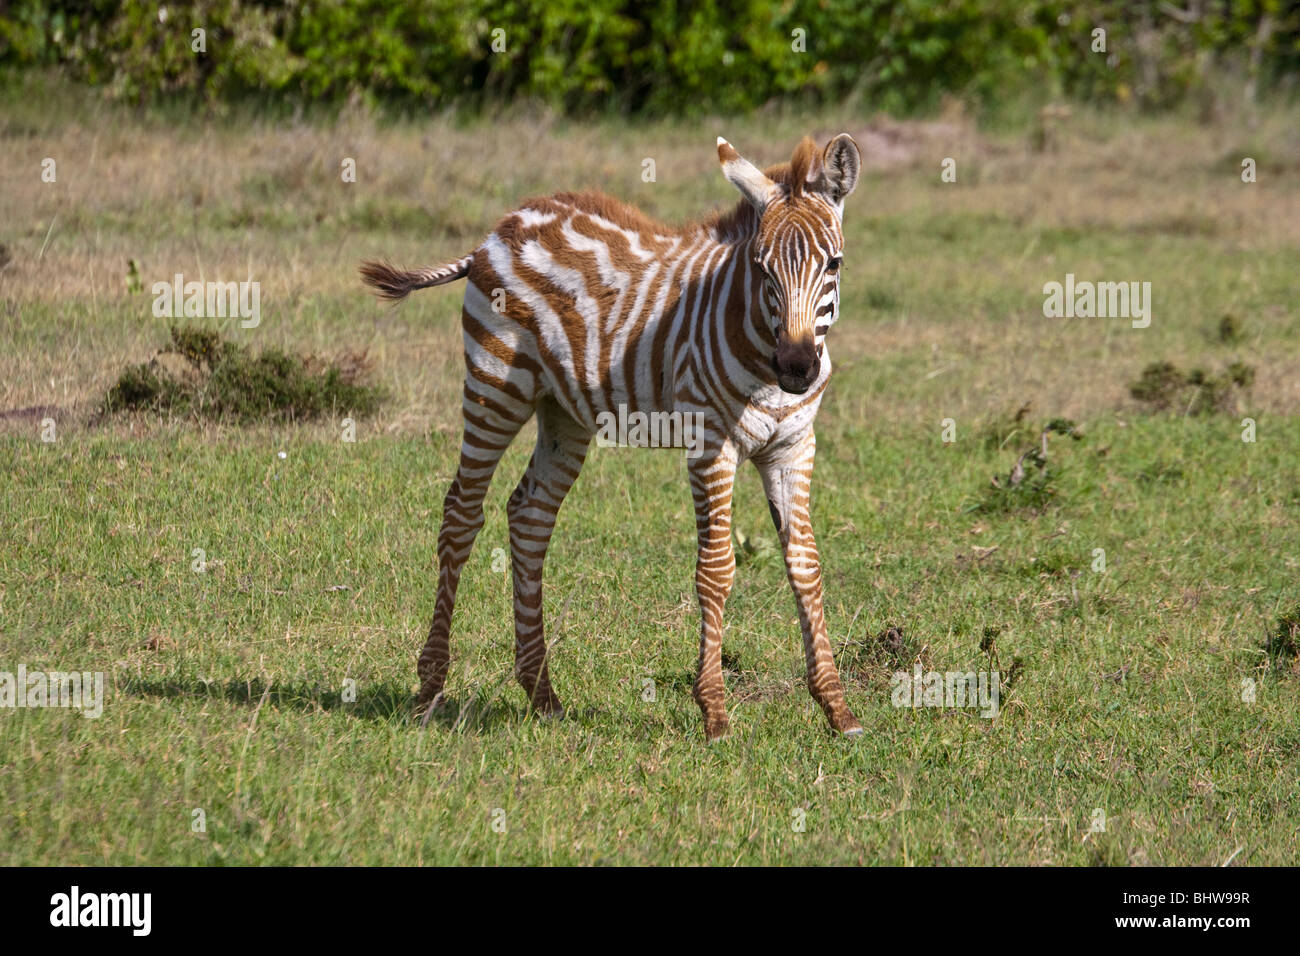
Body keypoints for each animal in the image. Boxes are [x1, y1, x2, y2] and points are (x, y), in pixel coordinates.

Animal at [361, 133, 863, 740]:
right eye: (761, 268)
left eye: (833, 263)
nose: (796, 368)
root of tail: (500, 228)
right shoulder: (709, 442)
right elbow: (717, 569)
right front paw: (715, 713)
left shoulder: (794, 448)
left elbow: (806, 566)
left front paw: (837, 708)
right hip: (494, 386)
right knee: (460, 514)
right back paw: (430, 687)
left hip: (563, 413)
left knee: (529, 516)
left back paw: (542, 693)